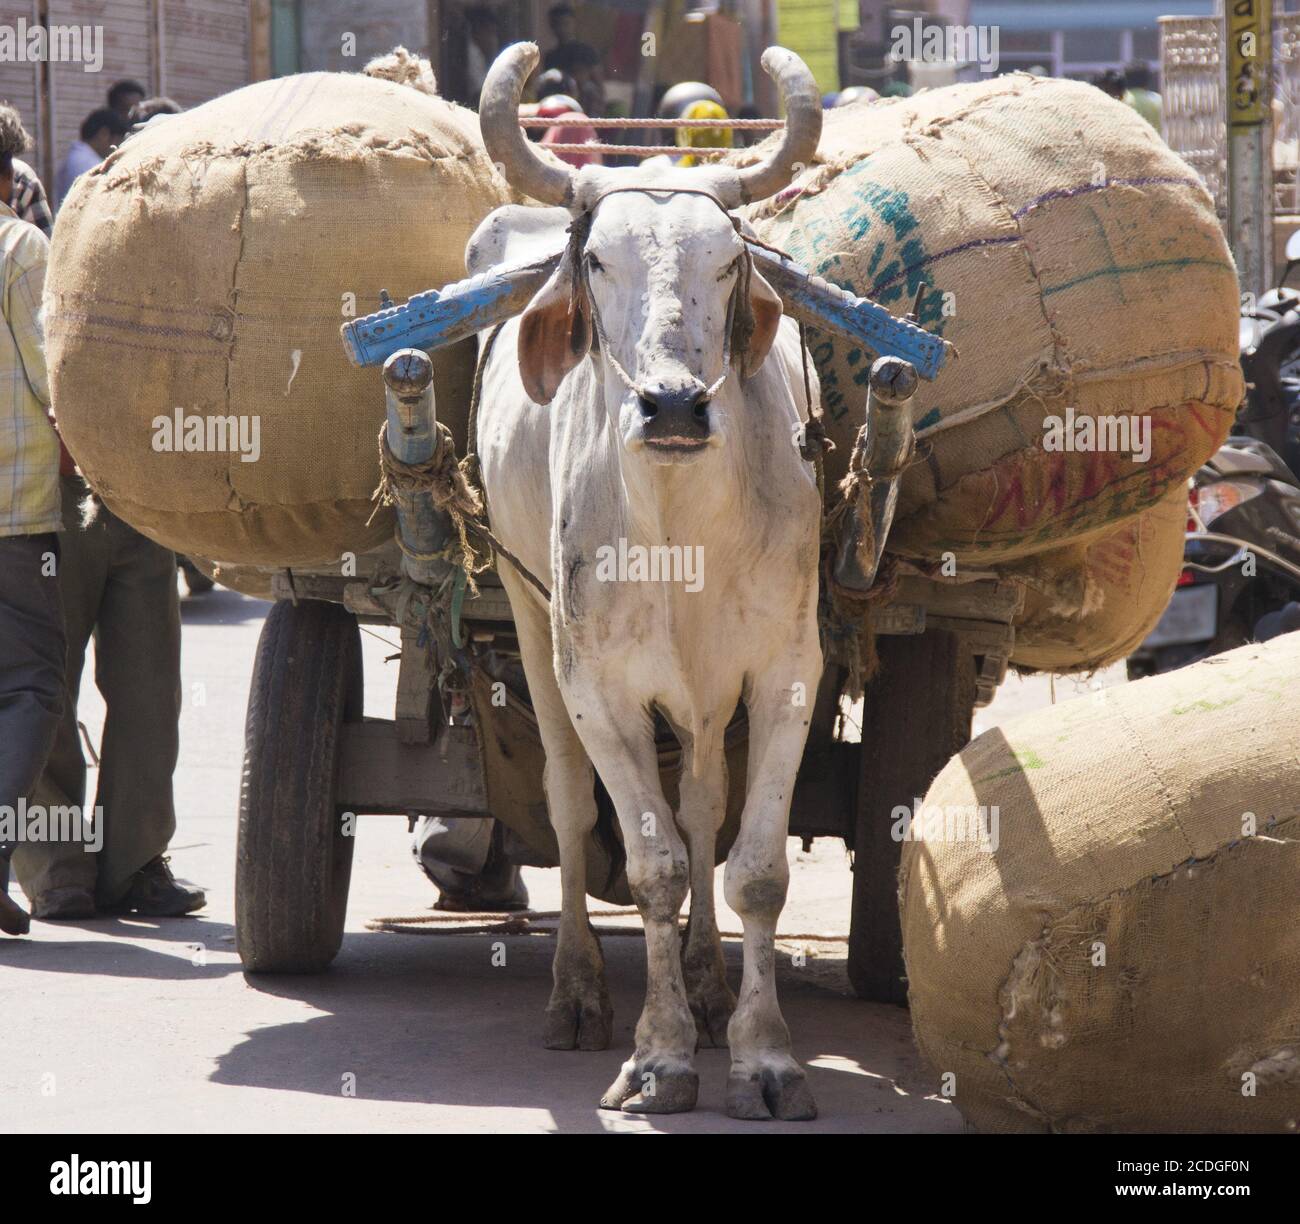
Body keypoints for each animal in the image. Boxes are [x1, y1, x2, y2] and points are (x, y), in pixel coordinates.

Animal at [469, 42, 824, 1119]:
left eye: (727, 260)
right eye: (597, 260)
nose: (671, 405)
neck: (681, 532)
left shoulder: (787, 674)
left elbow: (750, 869)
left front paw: (762, 1056)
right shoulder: (599, 687)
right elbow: (652, 862)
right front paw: (659, 1057)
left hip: (708, 699)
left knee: (705, 802)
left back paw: (707, 984)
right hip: (528, 621)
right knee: (568, 802)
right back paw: (577, 991)